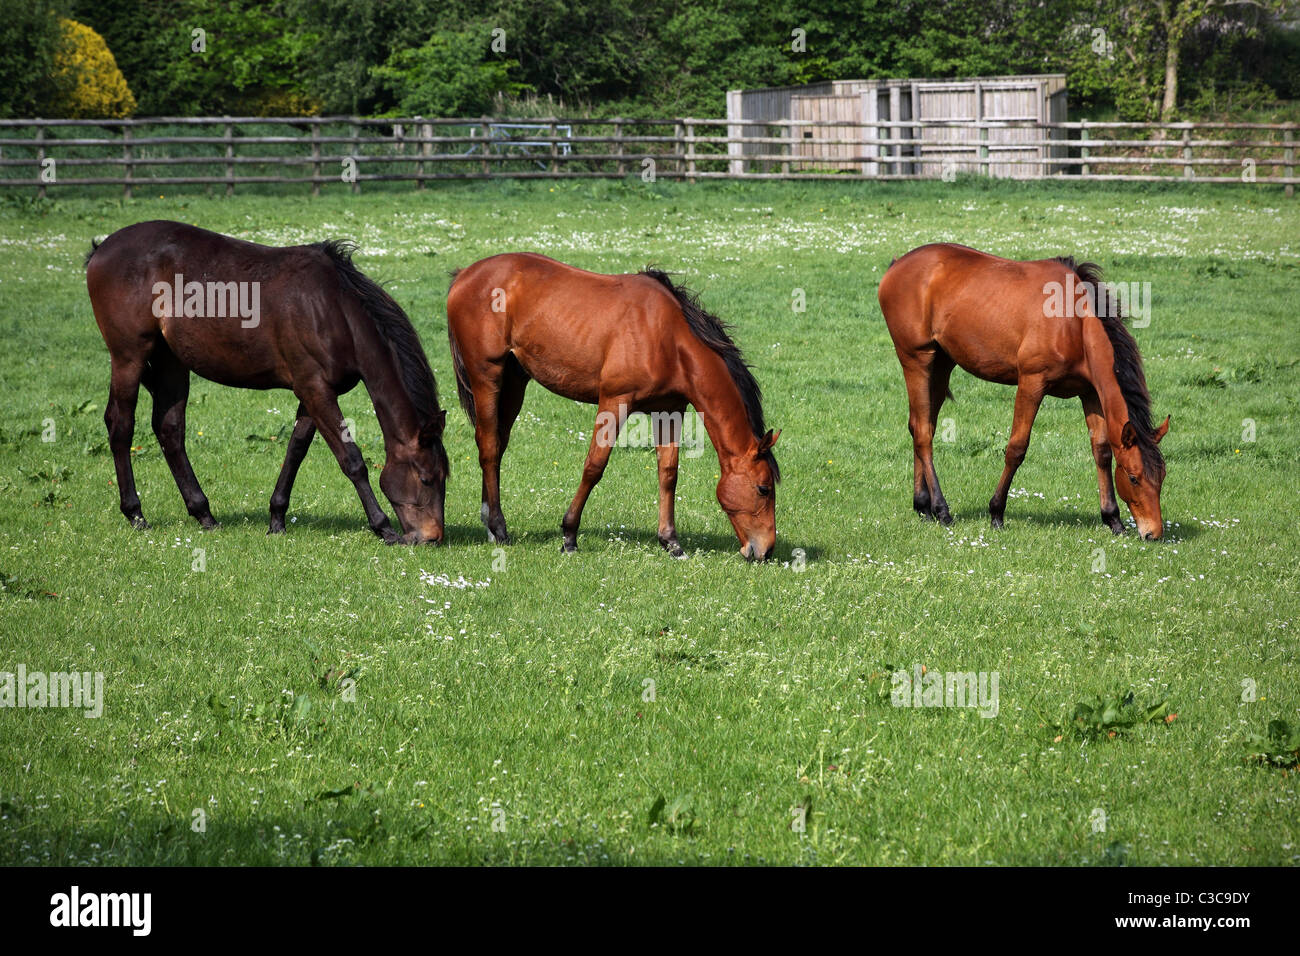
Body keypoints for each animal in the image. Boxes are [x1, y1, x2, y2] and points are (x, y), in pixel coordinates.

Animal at [85, 220, 448, 544]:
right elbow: (352, 459)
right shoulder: (316, 390)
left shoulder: (312, 393)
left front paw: (277, 519)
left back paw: (204, 513)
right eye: (426, 478)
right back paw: (136, 514)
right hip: (128, 357)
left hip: (171, 362)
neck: (333, 309)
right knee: (121, 425)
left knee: (169, 429)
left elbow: (296, 450)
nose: (431, 538)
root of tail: (102, 249)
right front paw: (382, 527)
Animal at [446, 253, 780, 560]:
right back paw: (498, 527)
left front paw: (671, 541)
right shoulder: (614, 402)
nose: (765, 551)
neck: (667, 336)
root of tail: (465, 275)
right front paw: (569, 535)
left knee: (498, 444)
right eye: (763, 488)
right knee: (489, 445)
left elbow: (668, 472)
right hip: (487, 376)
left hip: (515, 381)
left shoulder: (670, 411)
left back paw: (490, 523)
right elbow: (594, 466)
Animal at [878, 243, 1169, 539]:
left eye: (1162, 477)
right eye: (1133, 477)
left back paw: (923, 506)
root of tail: (898, 264)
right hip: (917, 360)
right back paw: (940, 509)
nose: (1153, 533)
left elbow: (1101, 451)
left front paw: (1113, 519)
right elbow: (1016, 448)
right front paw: (996, 512)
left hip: (941, 364)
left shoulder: (1090, 393)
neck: (1073, 321)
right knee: (923, 433)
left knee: (922, 425)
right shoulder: (1031, 383)